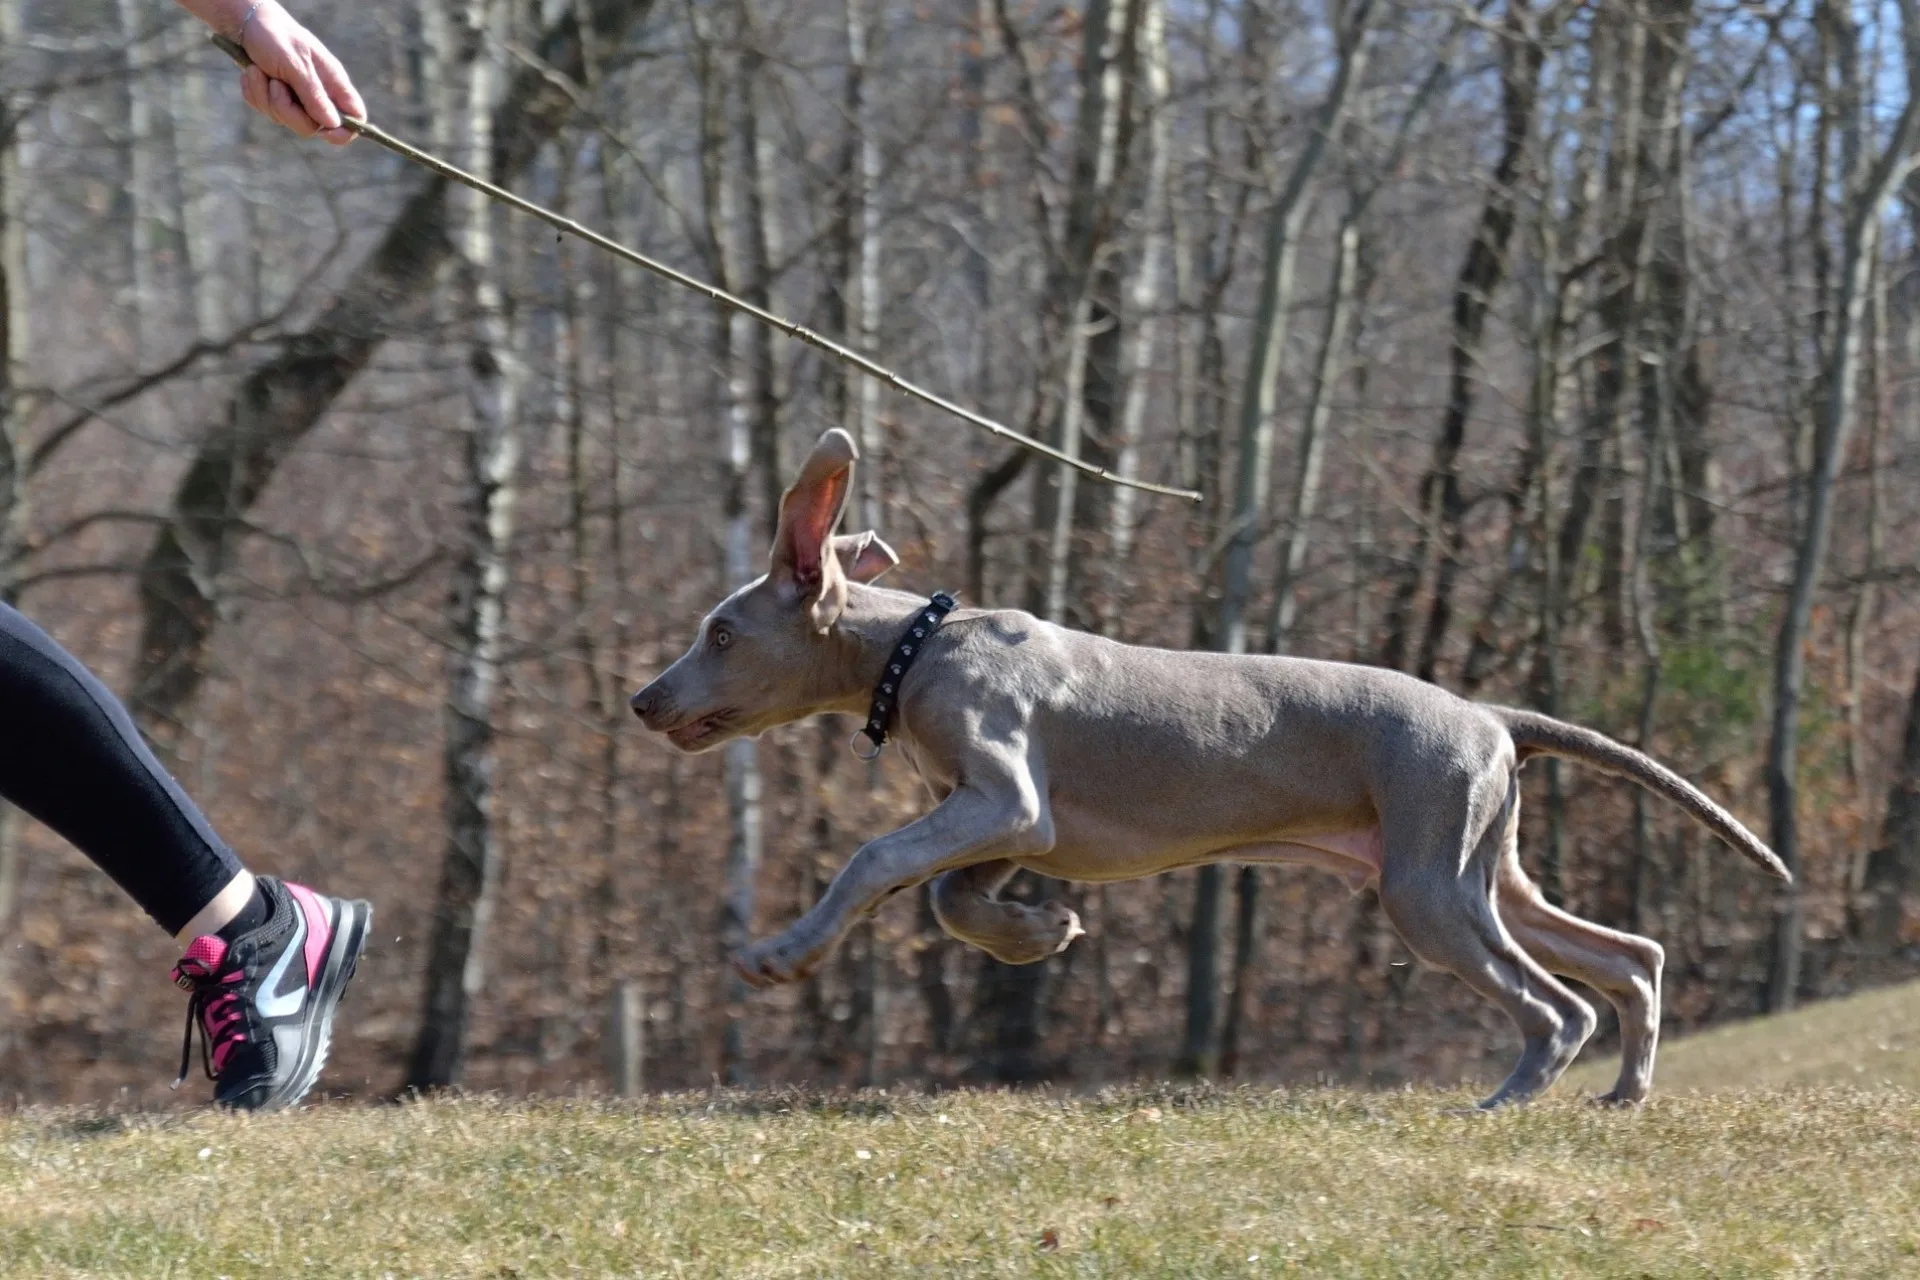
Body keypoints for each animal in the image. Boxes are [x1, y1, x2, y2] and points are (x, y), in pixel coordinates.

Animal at [629, 426, 1781, 1105]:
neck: (913, 646)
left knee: (1556, 1004)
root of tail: (1488, 714)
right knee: (1630, 955)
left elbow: (872, 861)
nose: (644, 700)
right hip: (1479, 870)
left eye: (720, 633)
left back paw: (1505, 1100)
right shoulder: (1001, 822)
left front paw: (784, 952)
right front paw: (1042, 931)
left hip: (1428, 885)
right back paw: (1624, 1091)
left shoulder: (1006, 797)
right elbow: (955, 898)